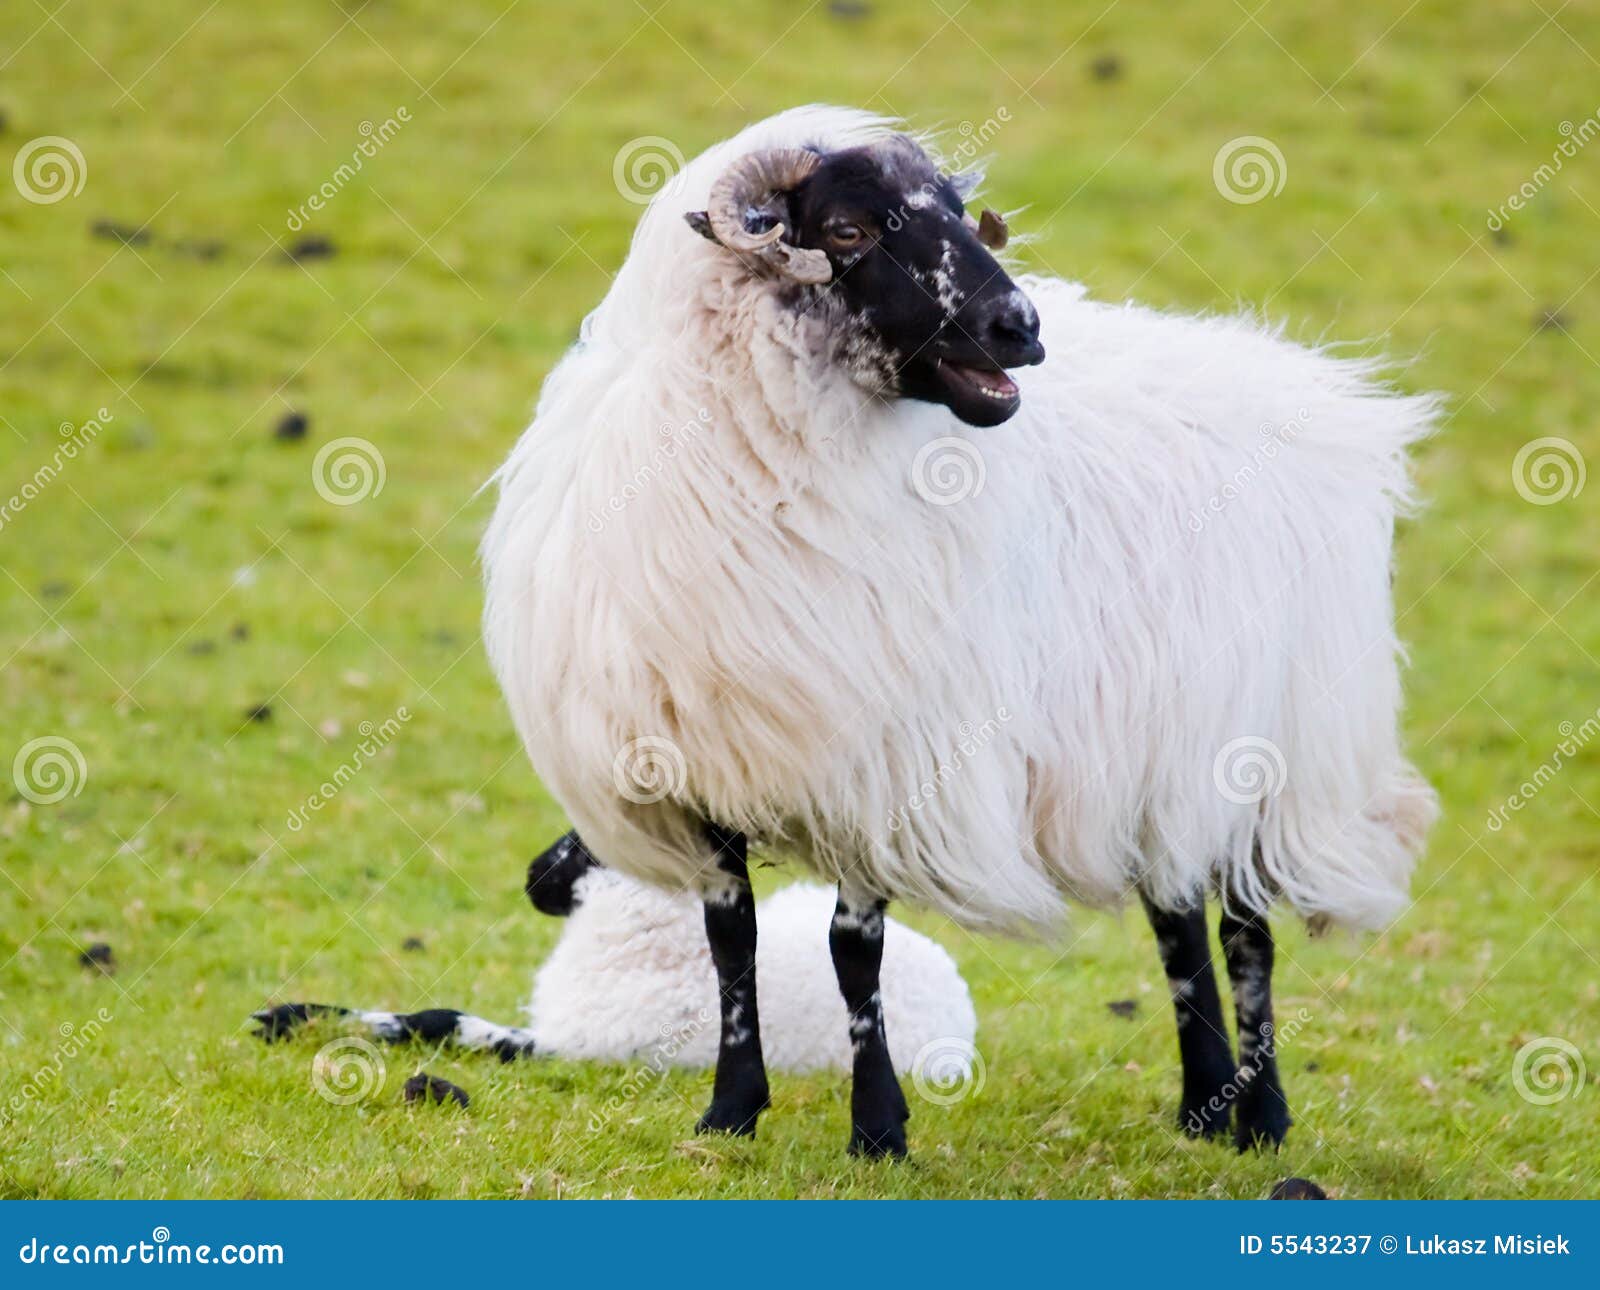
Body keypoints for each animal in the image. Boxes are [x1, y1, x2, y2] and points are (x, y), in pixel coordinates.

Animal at [252, 832, 977, 1085]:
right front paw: (288, 1015)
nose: (530, 877)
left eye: (582, 840)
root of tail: (957, 992)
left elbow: (446, 1020)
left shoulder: (575, 1043)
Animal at [480, 105, 1438, 1159]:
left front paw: (877, 1128)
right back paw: (1201, 1104)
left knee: (1245, 931)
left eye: (955, 210)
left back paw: (1261, 1117)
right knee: (1179, 920)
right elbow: (731, 941)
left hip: (1260, 748)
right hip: (1153, 746)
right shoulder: (702, 771)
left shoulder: (877, 769)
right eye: (848, 230)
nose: (1020, 327)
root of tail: (1312, 392)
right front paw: (732, 1111)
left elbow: (852, 952)